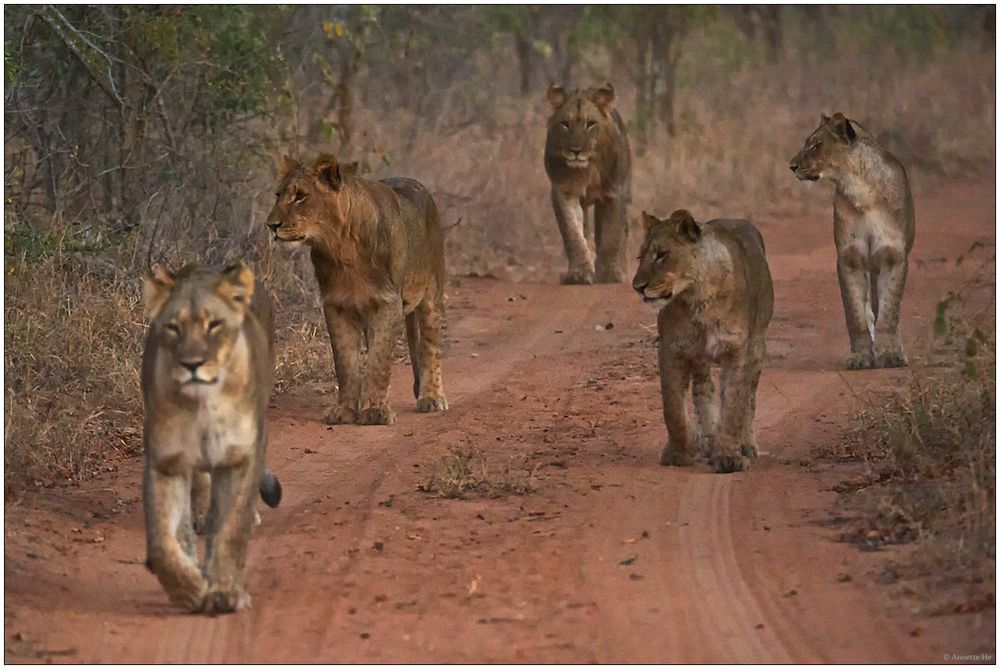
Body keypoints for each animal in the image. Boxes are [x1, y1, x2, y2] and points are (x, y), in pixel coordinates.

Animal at [141, 262, 281, 614]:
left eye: (214, 325)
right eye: (173, 328)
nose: (192, 364)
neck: (203, 403)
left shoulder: (239, 457)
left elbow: (231, 530)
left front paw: (224, 591)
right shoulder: (166, 461)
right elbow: (163, 542)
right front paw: (189, 589)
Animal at [266, 154, 448, 425]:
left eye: (300, 196)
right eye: (278, 195)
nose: (271, 225)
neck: (340, 248)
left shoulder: (388, 301)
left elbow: (378, 361)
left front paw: (375, 411)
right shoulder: (336, 304)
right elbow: (346, 362)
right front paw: (346, 410)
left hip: (431, 295)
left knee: (429, 347)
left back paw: (432, 398)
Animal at [544, 82, 632, 285]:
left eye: (590, 124)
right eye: (565, 124)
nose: (575, 151)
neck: (587, 170)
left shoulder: (614, 193)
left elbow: (611, 236)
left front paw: (609, 274)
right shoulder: (565, 191)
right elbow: (573, 233)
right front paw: (580, 272)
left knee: (622, 230)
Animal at [632, 210, 774, 473]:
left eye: (662, 254)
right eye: (640, 257)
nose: (638, 287)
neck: (695, 297)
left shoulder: (736, 351)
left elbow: (734, 405)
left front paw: (729, 457)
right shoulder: (671, 349)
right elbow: (673, 408)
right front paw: (677, 454)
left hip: (758, 347)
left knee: (749, 397)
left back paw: (746, 445)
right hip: (698, 357)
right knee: (703, 390)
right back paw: (707, 440)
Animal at [790, 112, 915, 369]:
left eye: (816, 145)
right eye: (807, 143)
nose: (792, 166)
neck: (860, 189)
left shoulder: (893, 257)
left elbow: (889, 311)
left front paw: (890, 354)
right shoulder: (849, 259)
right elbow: (855, 315)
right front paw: (860, 356)